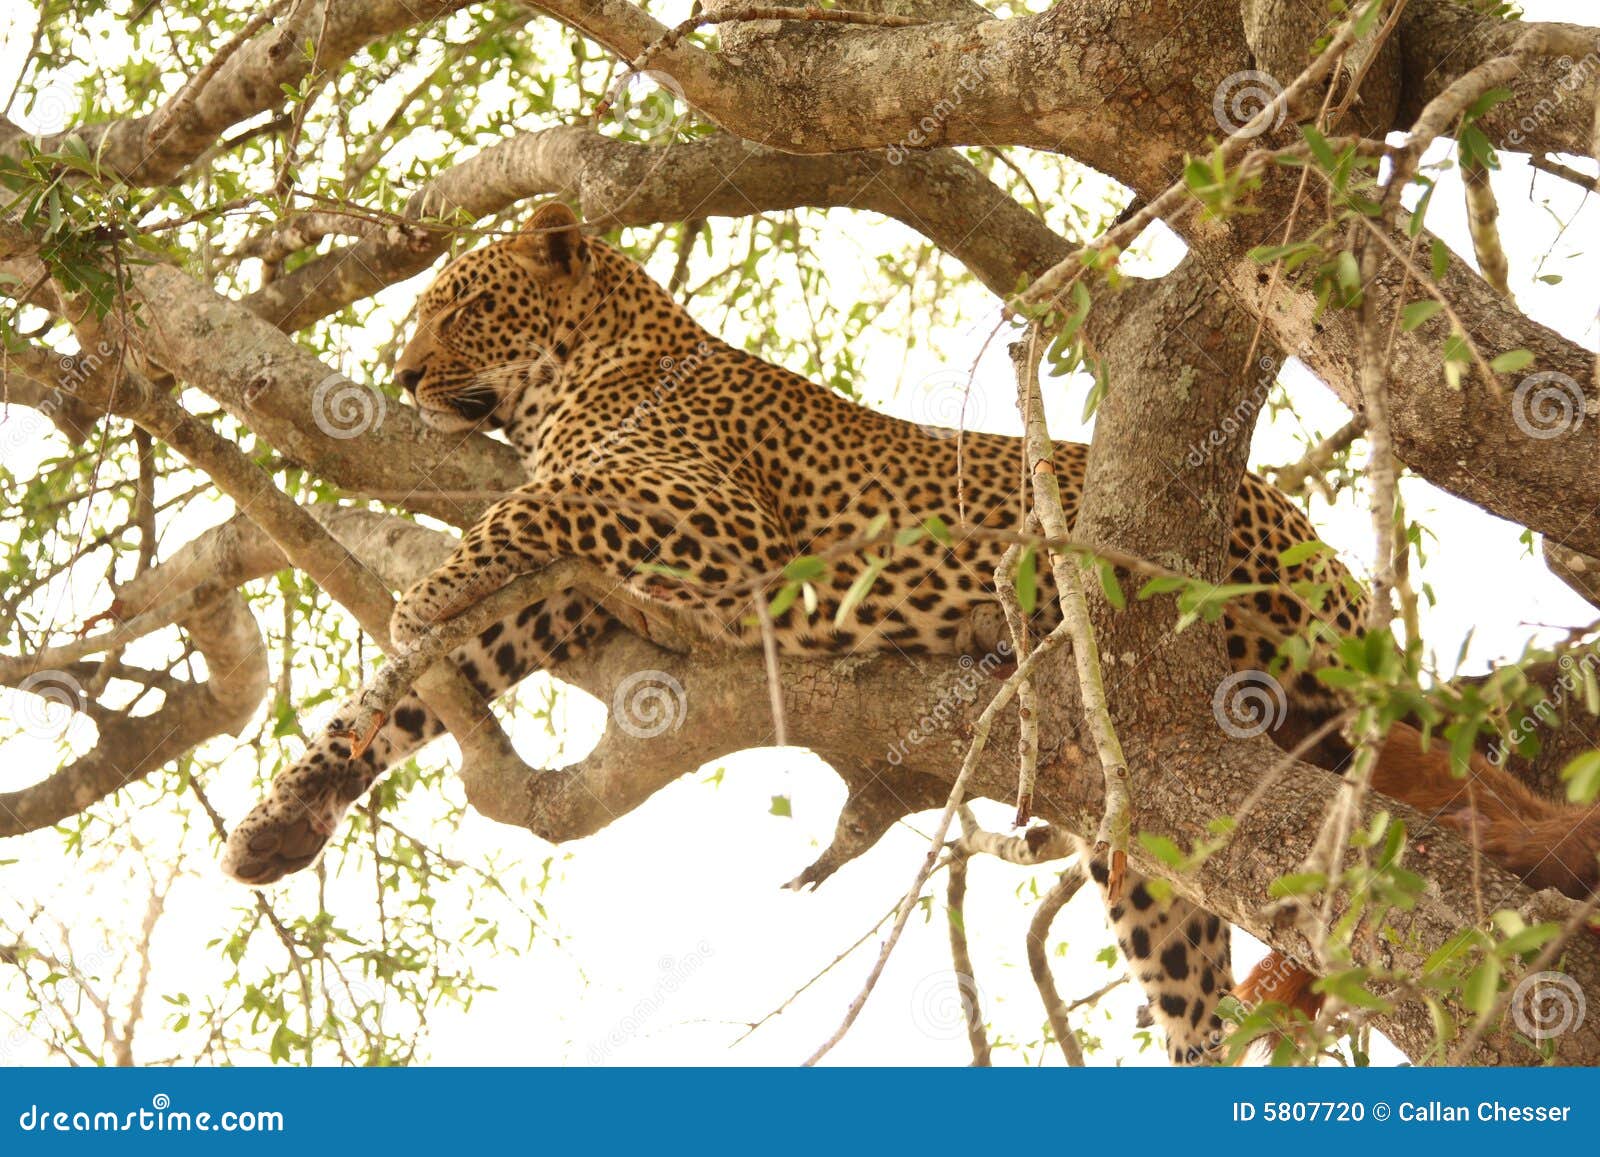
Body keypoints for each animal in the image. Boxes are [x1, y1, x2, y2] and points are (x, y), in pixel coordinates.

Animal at [221, 201, 1584, 1065]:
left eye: (465, 303)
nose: (400, 375)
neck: (588, 374)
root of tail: (1326, 560)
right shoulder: (595, 590)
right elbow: (424, 681)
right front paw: (288, 813)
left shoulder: (713, 527)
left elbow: (522, 508)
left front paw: (419, 592)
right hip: (1152, 840)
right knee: (1197, 979)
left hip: (1275, 635)